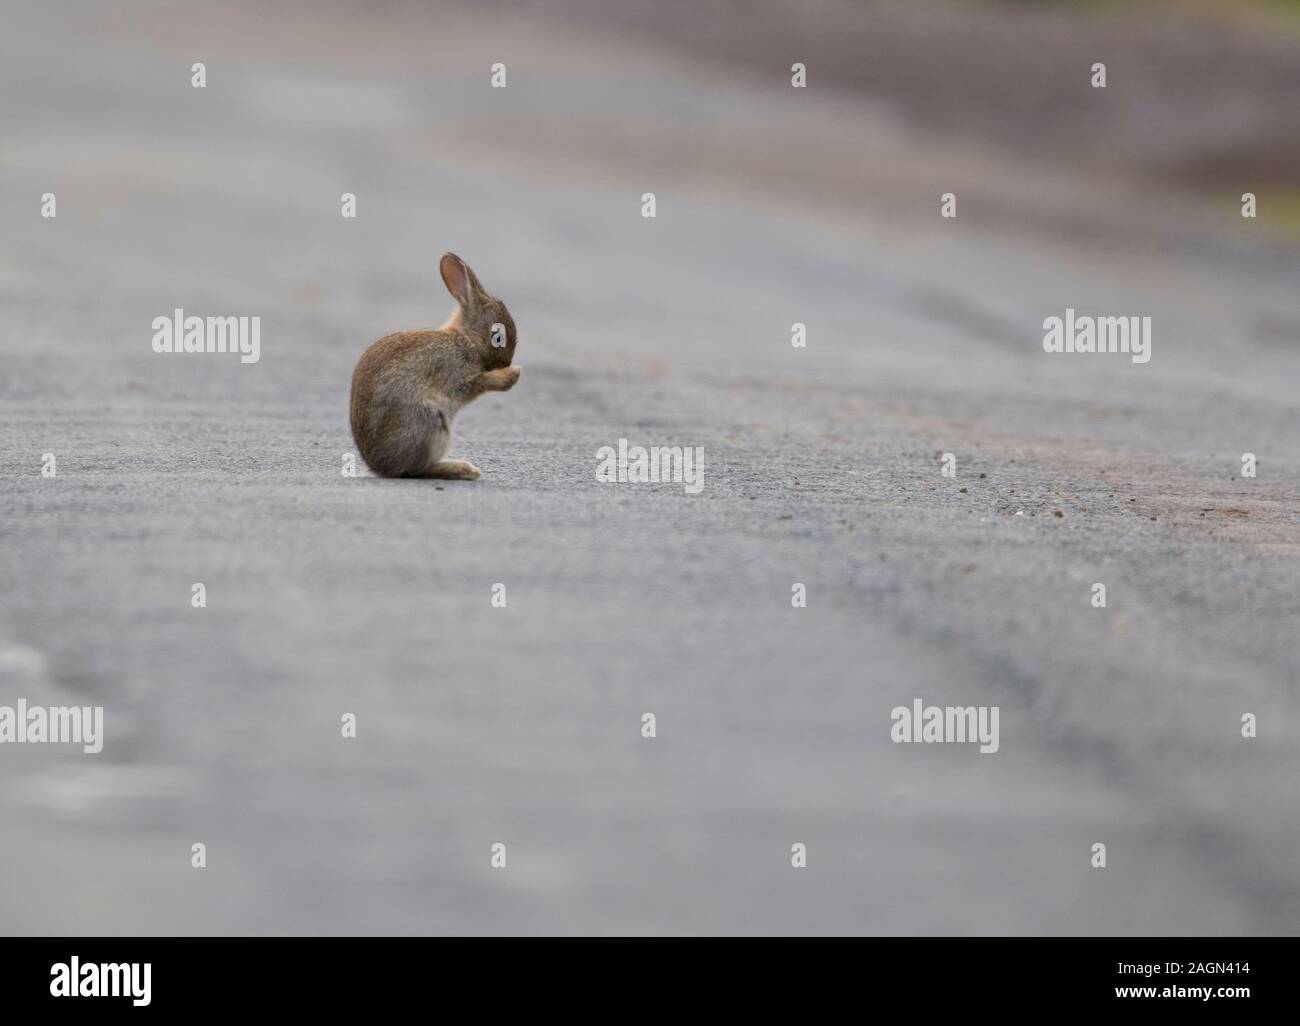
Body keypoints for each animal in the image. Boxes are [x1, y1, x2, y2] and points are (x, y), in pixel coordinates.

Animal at [350, 253, 520, 479]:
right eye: (498, 336)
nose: (507, 362)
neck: (465, 339)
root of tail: (380, 466)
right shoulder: (456, 374)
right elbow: (477, 383)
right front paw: (512, 375)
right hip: (429, 422)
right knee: (417, 469)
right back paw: (463, 469)